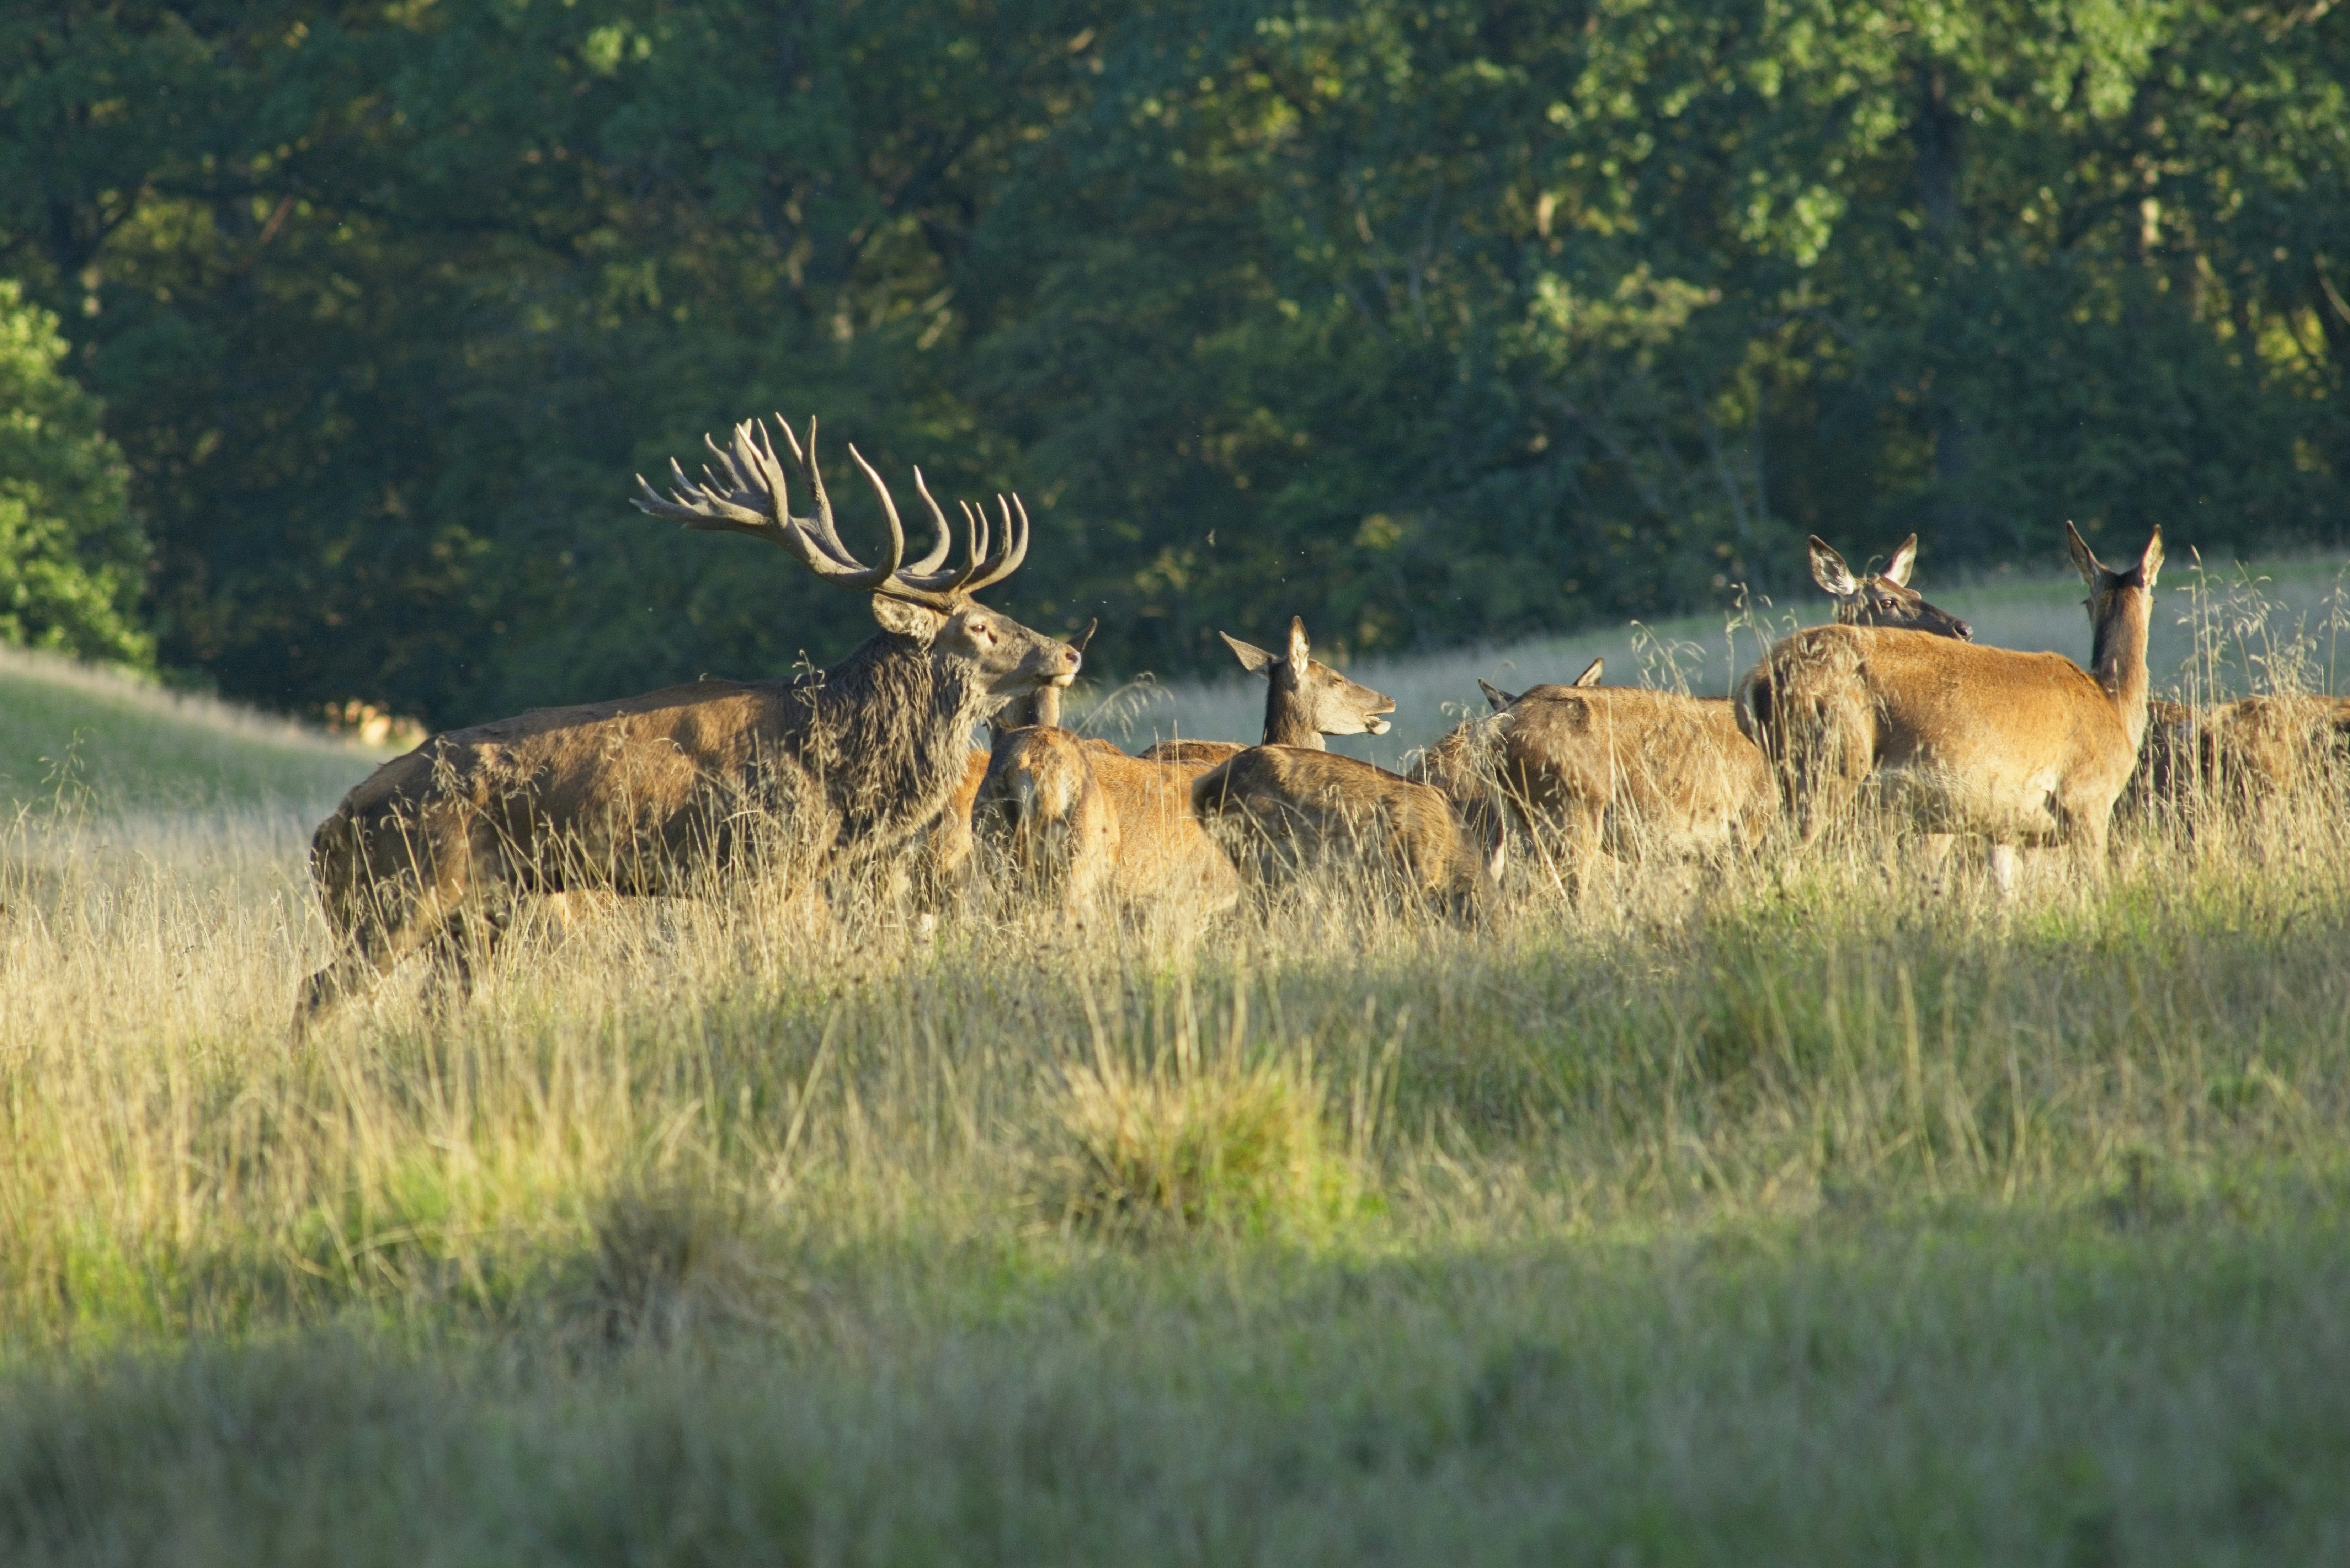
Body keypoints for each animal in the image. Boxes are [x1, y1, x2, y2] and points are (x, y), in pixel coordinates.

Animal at [297, 416, 1082, 1026]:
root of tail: (330, 825)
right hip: (405, 891)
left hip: (477, 914)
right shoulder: (755, 864)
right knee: (319, 991)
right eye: (978, 627)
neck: (834, 775)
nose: (1067, 651)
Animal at [1736, 522, 2163, 887]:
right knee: (1769, 857)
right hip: (1828, 765)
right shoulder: (2087, 798)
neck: (2113, 703)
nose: (1964, 629)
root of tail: (1754, 681)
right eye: (1887, 601)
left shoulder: (2007, 828)